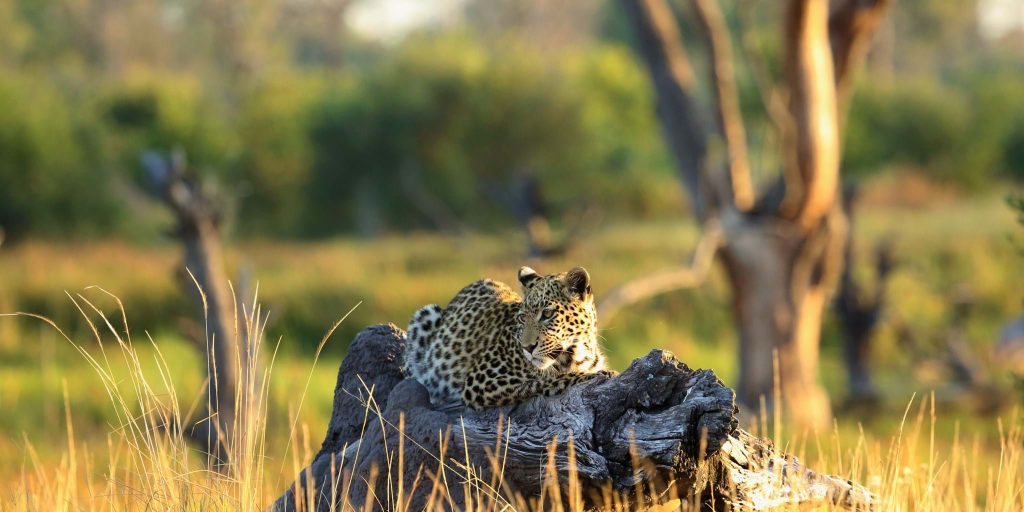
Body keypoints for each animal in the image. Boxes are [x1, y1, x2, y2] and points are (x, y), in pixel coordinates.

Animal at [403, 266, 611, 409]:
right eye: (522, 318)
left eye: (547, 314)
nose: (528, 348)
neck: (577, 353)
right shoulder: (481, 380)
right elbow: (542, 380)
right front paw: (595, 375)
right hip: (426, 315)